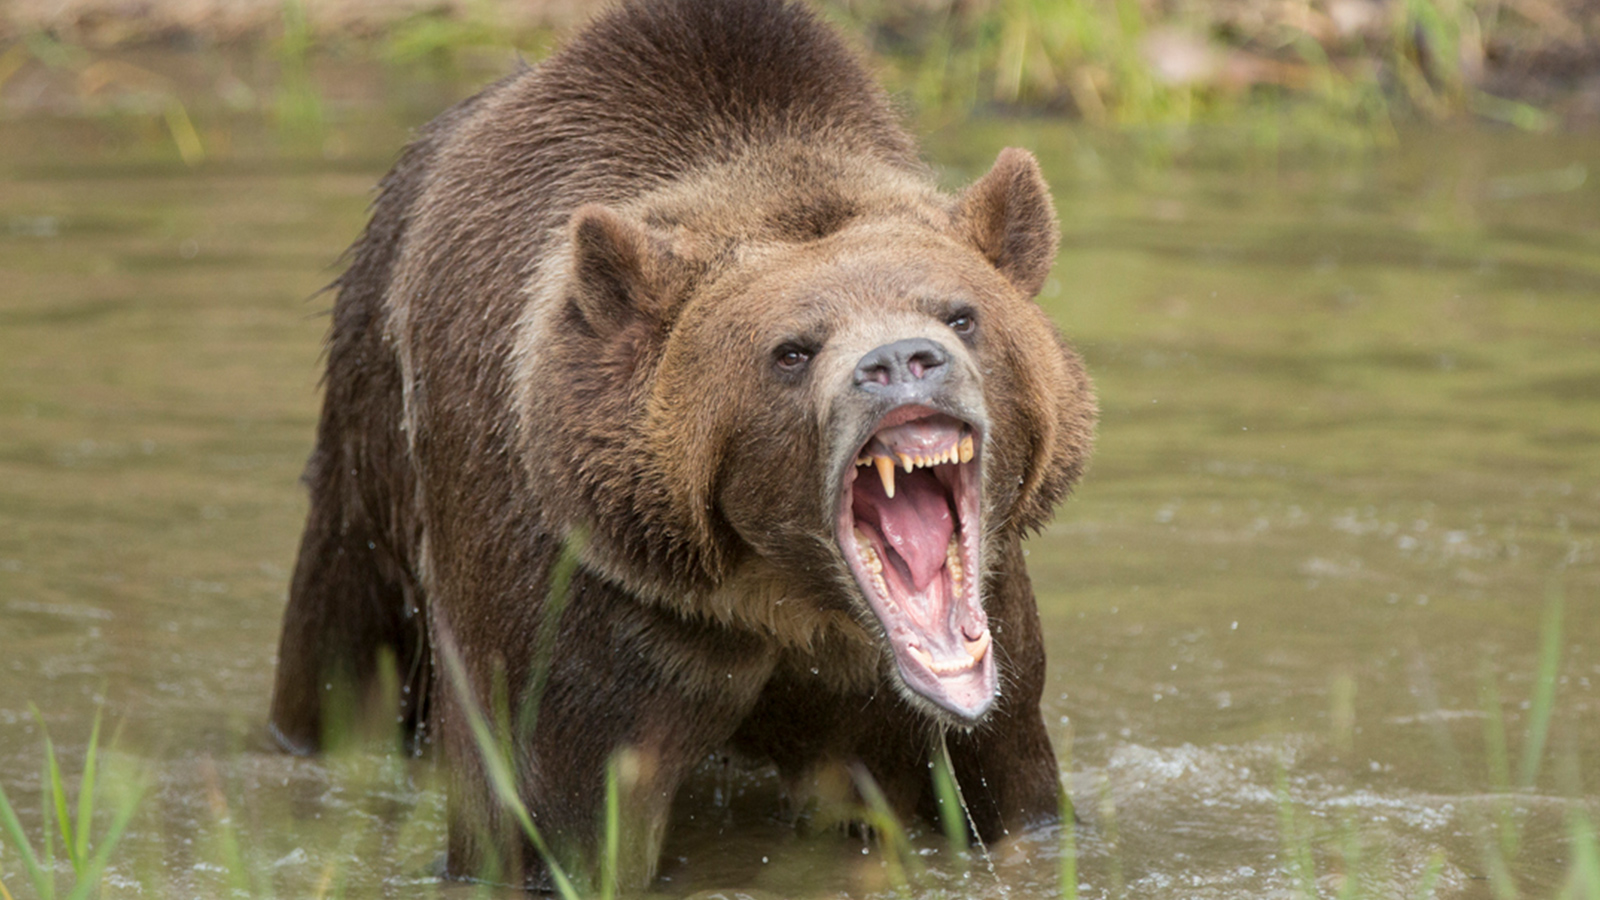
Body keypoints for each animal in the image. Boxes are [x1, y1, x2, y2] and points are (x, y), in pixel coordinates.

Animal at [267, 0, 1097, 889]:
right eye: (792, 350)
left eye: (960, 314)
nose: (901, 361)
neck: (783, 594)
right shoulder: (588, 609)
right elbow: (551, 820)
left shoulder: (971, 652)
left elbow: (1007, 789)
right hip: (371, 451)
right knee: (341, 646)